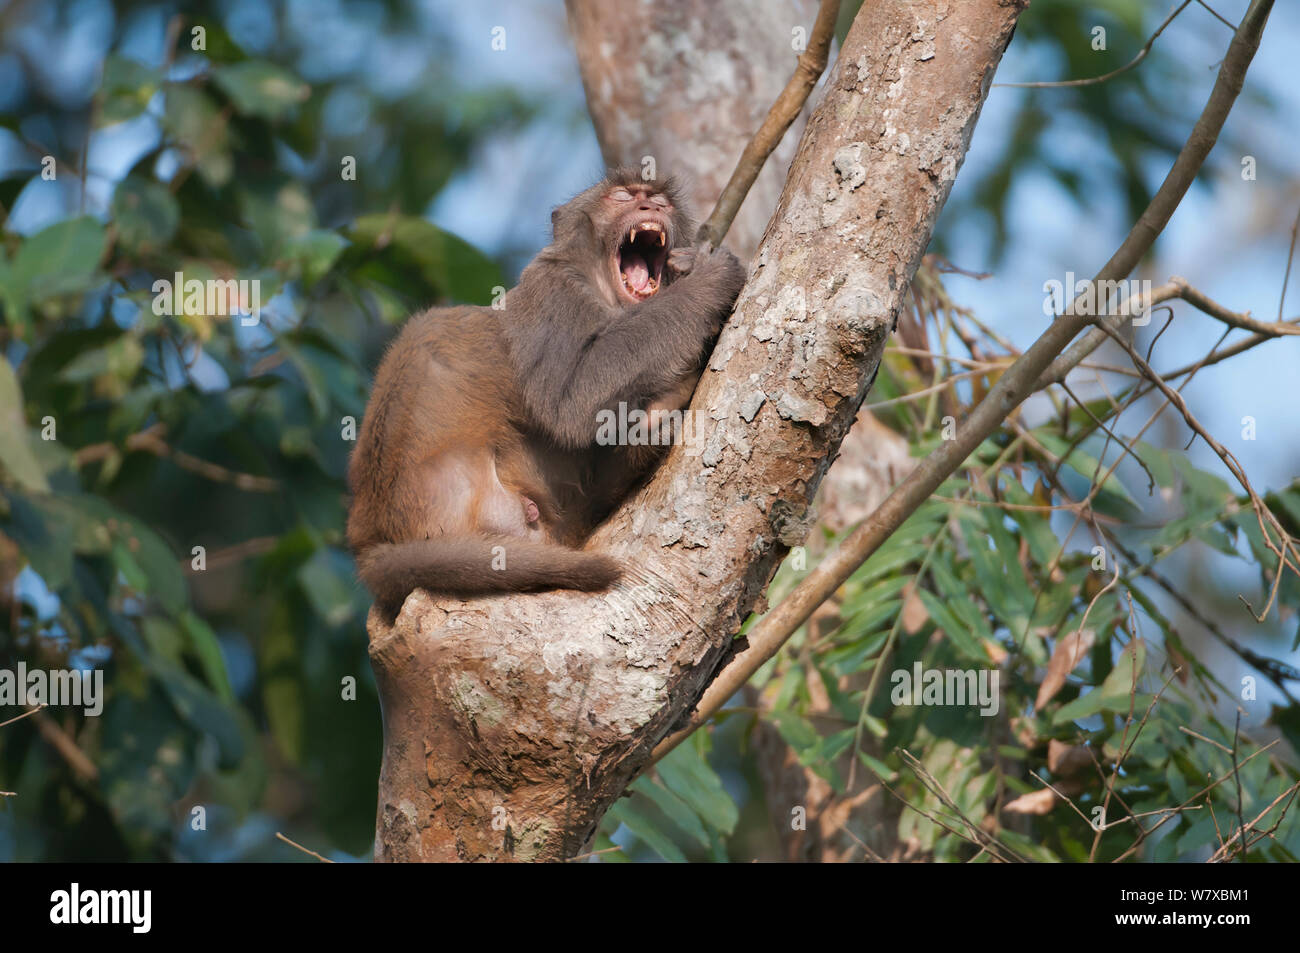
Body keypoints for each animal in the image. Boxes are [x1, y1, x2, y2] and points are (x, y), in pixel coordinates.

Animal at [346, 169, 747, 619]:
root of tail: (372, 533)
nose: (650, 205)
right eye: (623, 196)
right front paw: (711, 278)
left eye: (661, 201)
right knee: (440, 328)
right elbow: (568, 402)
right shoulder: (554, 292)